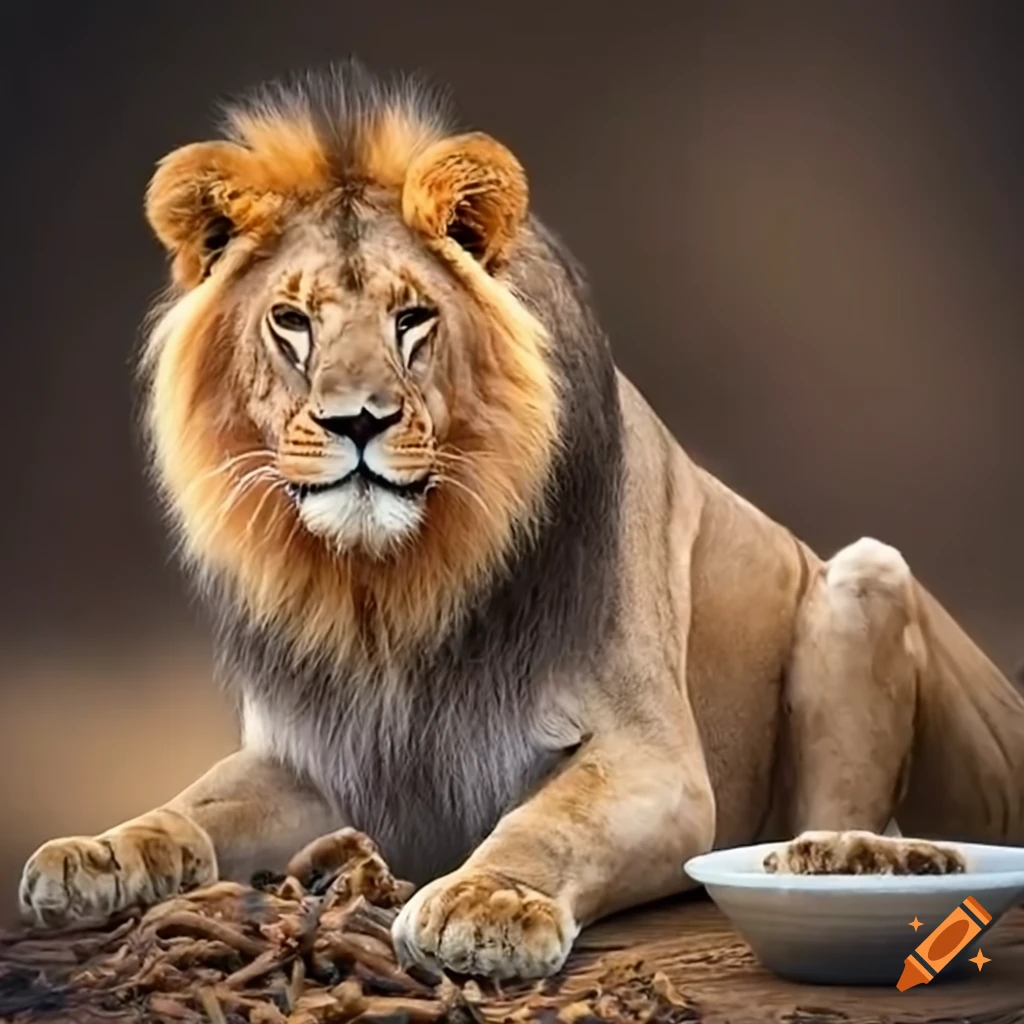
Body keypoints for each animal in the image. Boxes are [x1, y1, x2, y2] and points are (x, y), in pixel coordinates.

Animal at [18, 63, 1024, 980]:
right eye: (292, 321)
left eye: (414, 318)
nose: (356, 421)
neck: (391, 591)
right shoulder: (324, 760)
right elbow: (190, 806)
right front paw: (98, 853)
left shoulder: (659, 766)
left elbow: (547, 821)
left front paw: (488, 900)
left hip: (864, 575)